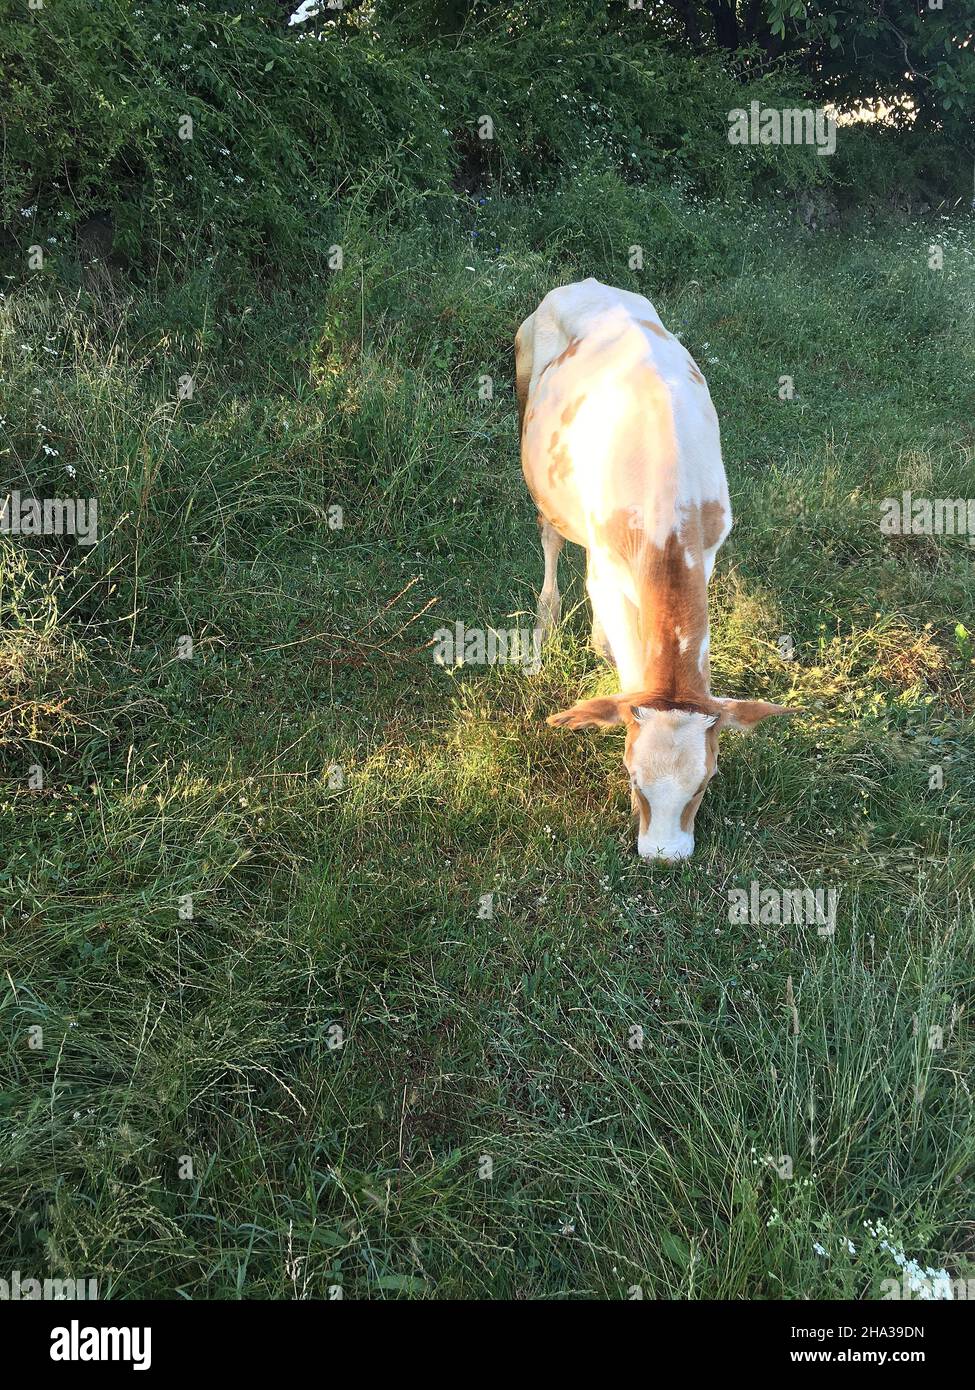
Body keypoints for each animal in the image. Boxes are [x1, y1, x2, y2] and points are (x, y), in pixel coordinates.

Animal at [516, 278, 793, 862]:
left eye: (706, 781)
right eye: (632, 778)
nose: (664, 857)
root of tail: (583, 284)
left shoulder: (707, 552)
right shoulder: (608, 561)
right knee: (551, 535)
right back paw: (547, 622)